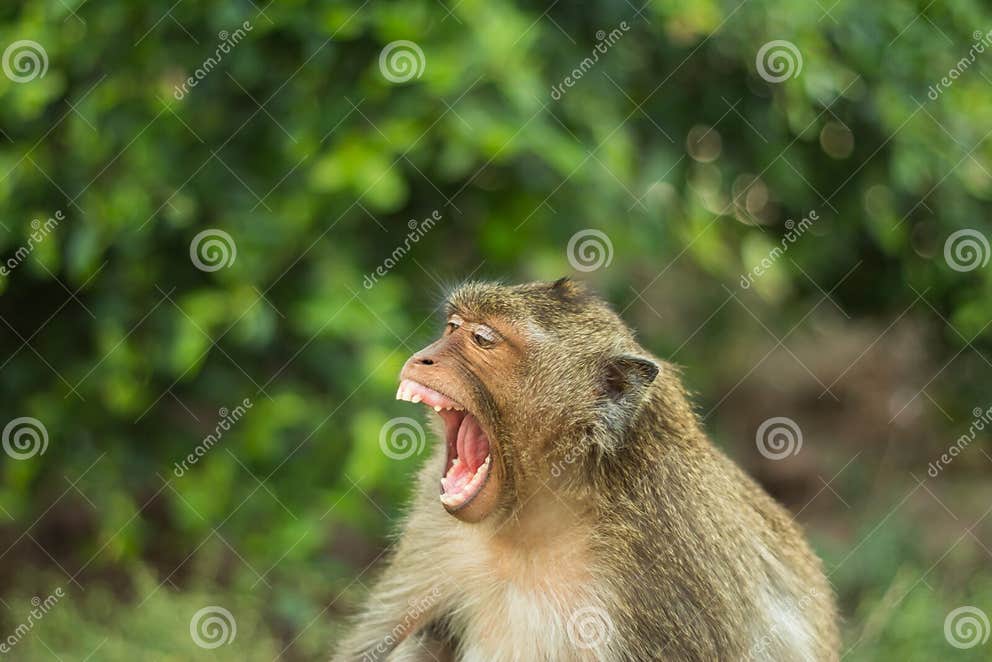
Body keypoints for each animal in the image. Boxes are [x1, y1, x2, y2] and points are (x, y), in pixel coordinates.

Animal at [333, 278, 839, 662]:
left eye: (482, 339)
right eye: (452, 327)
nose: (425, 355)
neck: (542, 513)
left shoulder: (670, 562)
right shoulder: (435, 526)